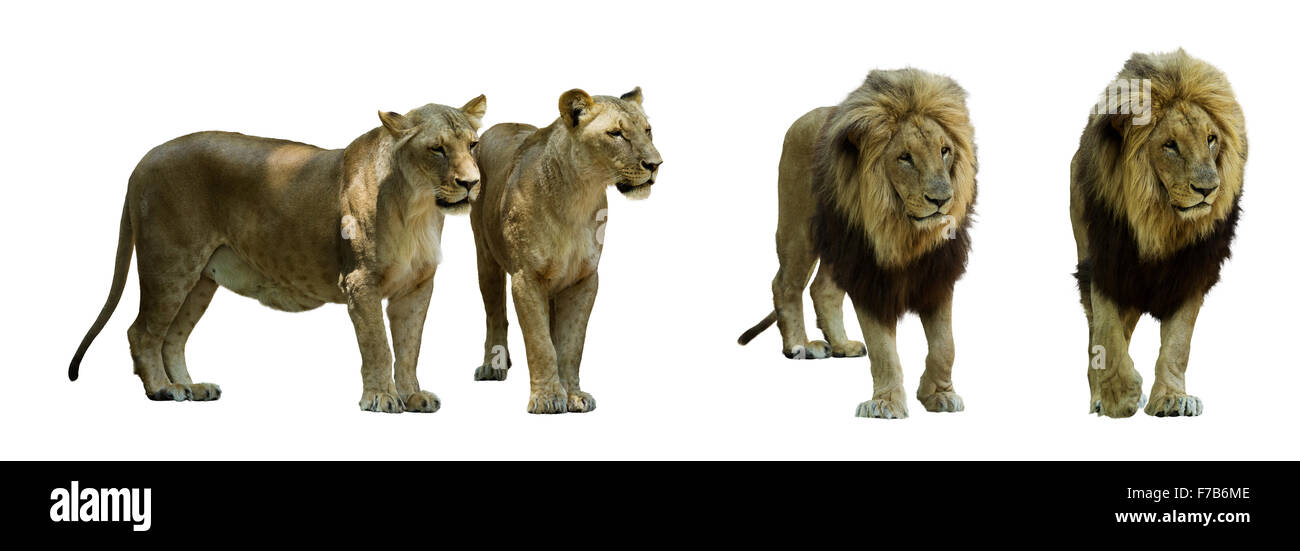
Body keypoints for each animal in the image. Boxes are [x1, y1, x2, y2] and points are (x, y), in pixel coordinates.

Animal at [68, 96, 487, 413]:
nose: (472, 183)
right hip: (170, 265)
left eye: (472, 145)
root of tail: (144, 160)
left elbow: (409, 345)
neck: (419, 209)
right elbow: (379, 346)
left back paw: (191, 387)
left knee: (172, 337)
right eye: (437, 149)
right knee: (142, 332)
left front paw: (412, 395)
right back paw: (162, 390)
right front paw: (381, 397)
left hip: (200, 280)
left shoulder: (416, 288)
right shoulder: (359, 281)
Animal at [468, 87, 661, 414]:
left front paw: (573, 395)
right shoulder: (527, 279)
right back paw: (493, 367)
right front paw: (547, 397)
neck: (579, 197)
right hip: (486, 256)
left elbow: (571, 344)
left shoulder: (585, 279)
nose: (656, 164)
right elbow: (540, 342)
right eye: (616, 133)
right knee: (495, 313)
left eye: (648, 131)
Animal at [738, 68, 978, 418]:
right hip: (799, 230)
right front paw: (886, 404)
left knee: (821, 288)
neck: (904, 233)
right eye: (905, 158)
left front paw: (939, 395)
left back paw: (841, 345)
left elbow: (946, 345)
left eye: (945, 150)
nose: (942, 199)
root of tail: (806, 117)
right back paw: (799, 346)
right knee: (785, 284)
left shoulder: (936, 275)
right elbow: (884, 351)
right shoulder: (869, 276)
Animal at [1071, 49, 1246, 418]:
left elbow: (1178, 344)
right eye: (1170, 145)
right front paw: (1120, 394)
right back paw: (1100, 396)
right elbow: (1107, 331)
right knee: (1097, 333)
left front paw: (1172, 398)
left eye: (1211, 139)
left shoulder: (1192, 272)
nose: (1208, 189)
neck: (1160, 223)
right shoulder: (1105, 260)